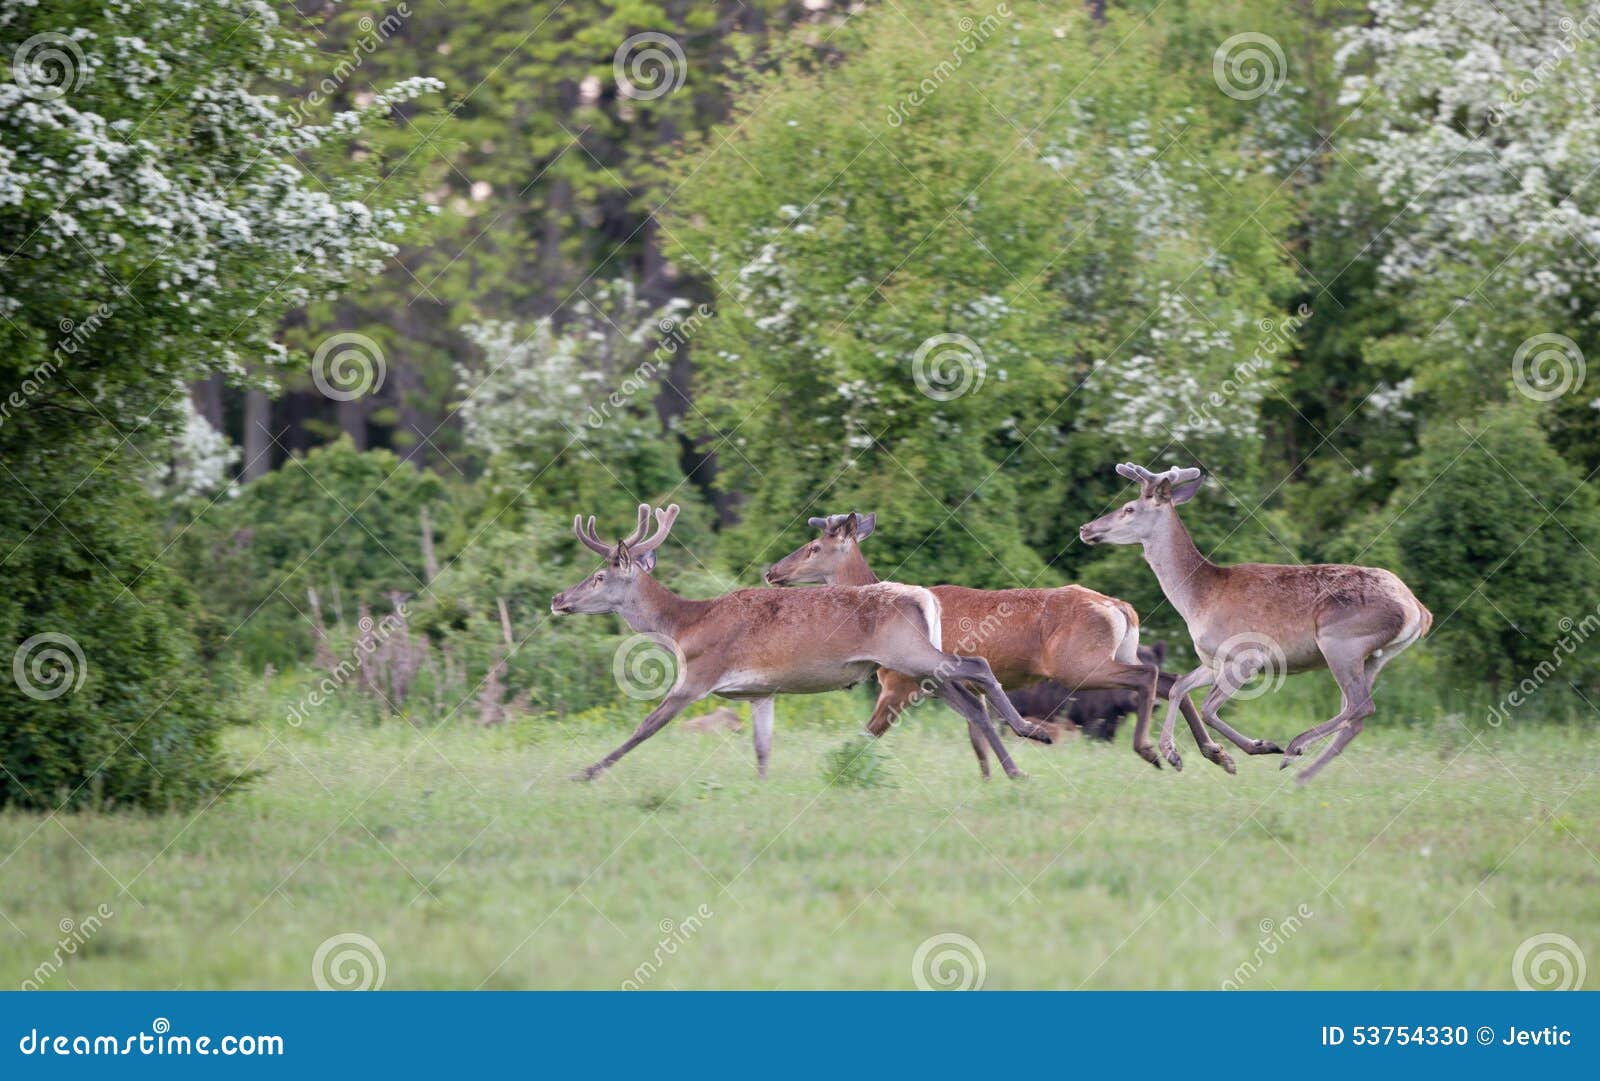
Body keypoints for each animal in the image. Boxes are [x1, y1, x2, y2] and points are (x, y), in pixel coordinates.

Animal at [550, 502, 1054, 782]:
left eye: (598, 577)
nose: (558, 599)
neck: (684, 627)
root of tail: (921, 596)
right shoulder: (759, 691)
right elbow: (762, 747)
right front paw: (762, 786)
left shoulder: (698, 674)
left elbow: (645, 727)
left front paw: (586, 772)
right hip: (914, 666)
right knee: (968, 699)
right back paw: (1018, 756)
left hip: (908, 652)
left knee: (978, 668)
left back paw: (1029, 740)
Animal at [763, 513, 1283, 775]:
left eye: (813, 547)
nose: (772, 571)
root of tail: (1121, 607)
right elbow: (977, 731)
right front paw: (996, 774)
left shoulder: (901, 682)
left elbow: (869, 733)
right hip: (1116, 651)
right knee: (1172, 678)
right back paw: (1216, 754)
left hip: (1079, 664)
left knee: (1150, 678)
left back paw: (1156, 751)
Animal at [1078, 463, 1432, 782]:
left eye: (1129, 508)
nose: (1086, 528)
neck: (1199, 599)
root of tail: (1417, 608)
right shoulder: (1214, 659)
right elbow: (1179, 686)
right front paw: (1173, 754)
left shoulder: (1249, 655)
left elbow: (1208, 707)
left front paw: (1254, 748)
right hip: (1374, 656)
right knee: (1356, 714)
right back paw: (1304, 772)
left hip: (1341, 642)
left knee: (1361, 706)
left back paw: (1294, 749)